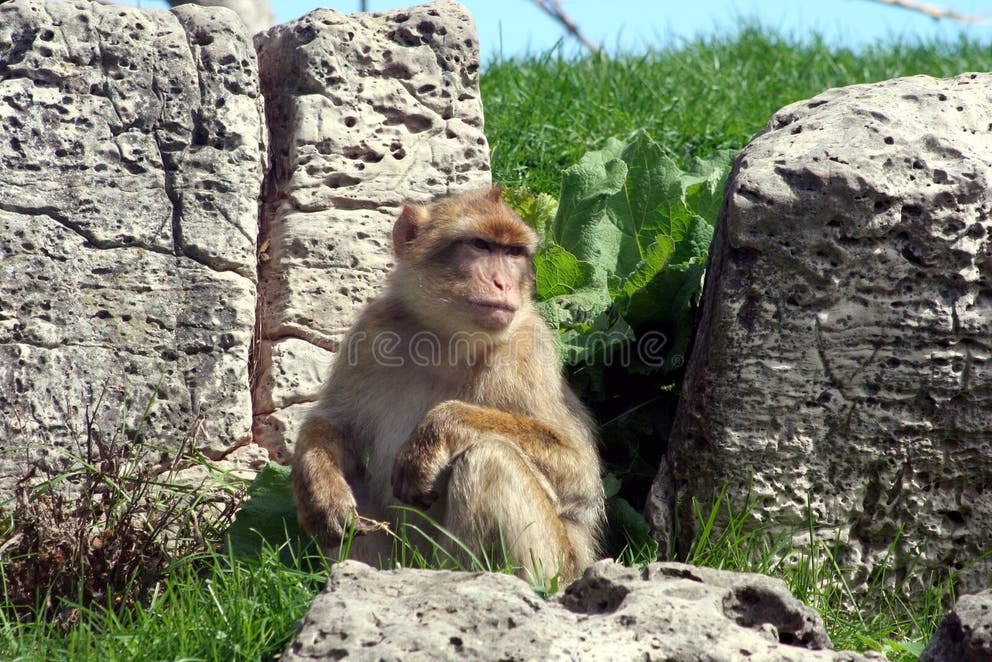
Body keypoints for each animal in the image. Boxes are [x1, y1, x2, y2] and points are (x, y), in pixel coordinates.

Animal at [290, 187, 604, 583]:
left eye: (513, 252)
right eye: (480, 245)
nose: (503, 283)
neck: (448, 341)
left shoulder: (529, 353)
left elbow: (580, 474)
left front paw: (439, 428)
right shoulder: (369, 334)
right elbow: (334, 424)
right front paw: (319, 491)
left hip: (557, 567)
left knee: (491, 457)